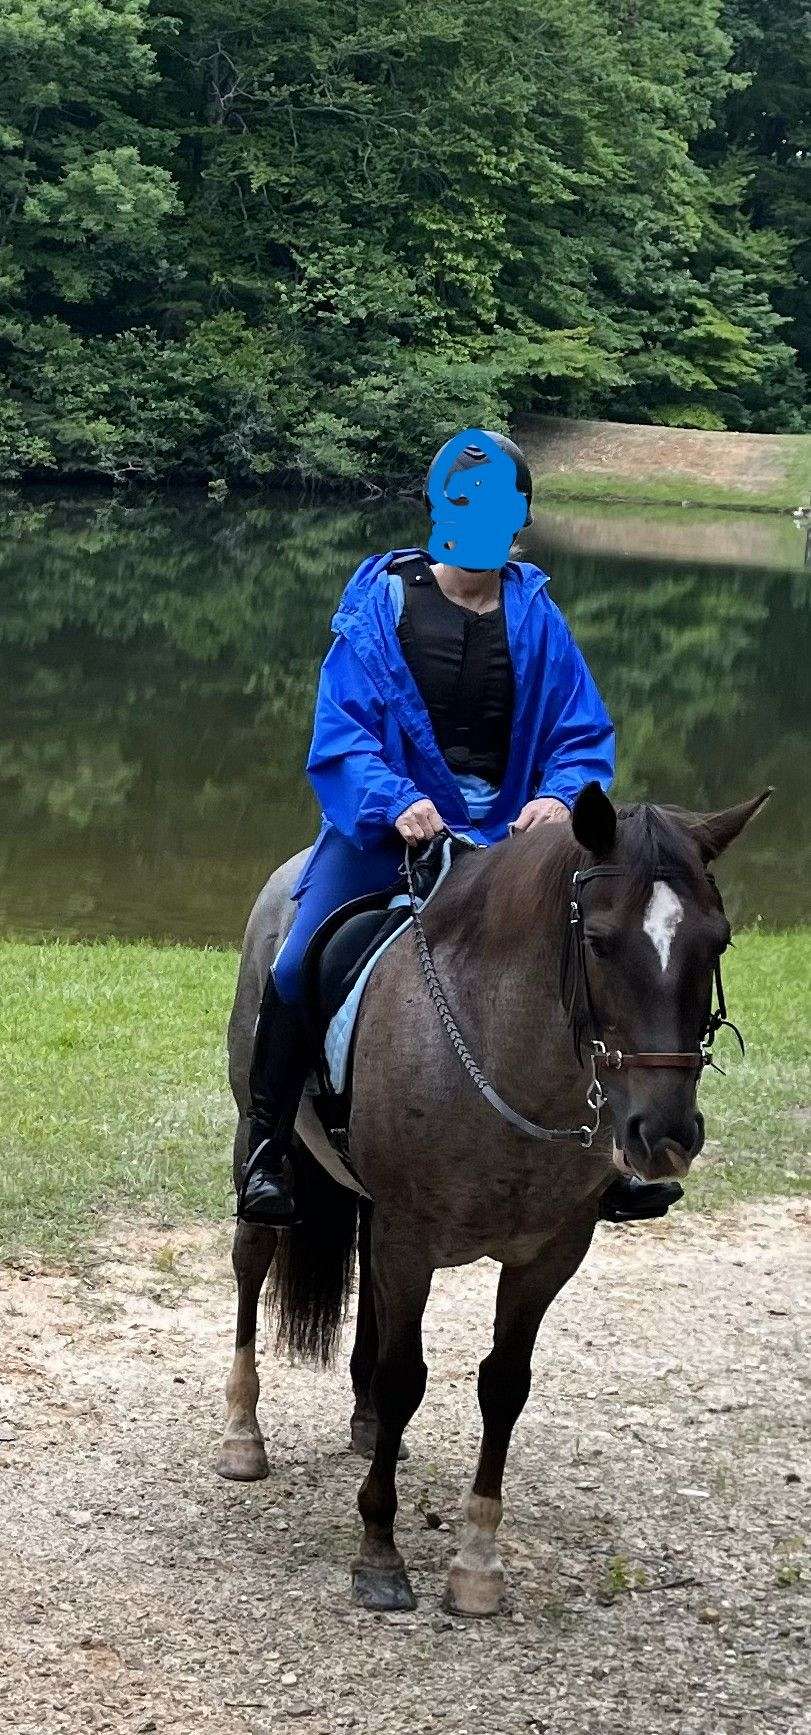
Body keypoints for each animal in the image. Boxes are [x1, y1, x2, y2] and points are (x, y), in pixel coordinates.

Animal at [216, 782, 769, 1616]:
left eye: (719, 942)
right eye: (599, 941)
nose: (663, 1133)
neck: (497, 1052)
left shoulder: (547, 1255)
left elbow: (503, 1385)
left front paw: (476, 1561)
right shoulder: (410, 1239)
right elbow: (405, 1377)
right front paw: (379, 1551)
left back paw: (366, 1424)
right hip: (261, 1139)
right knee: (253, 1260)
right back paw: (243, 1434)